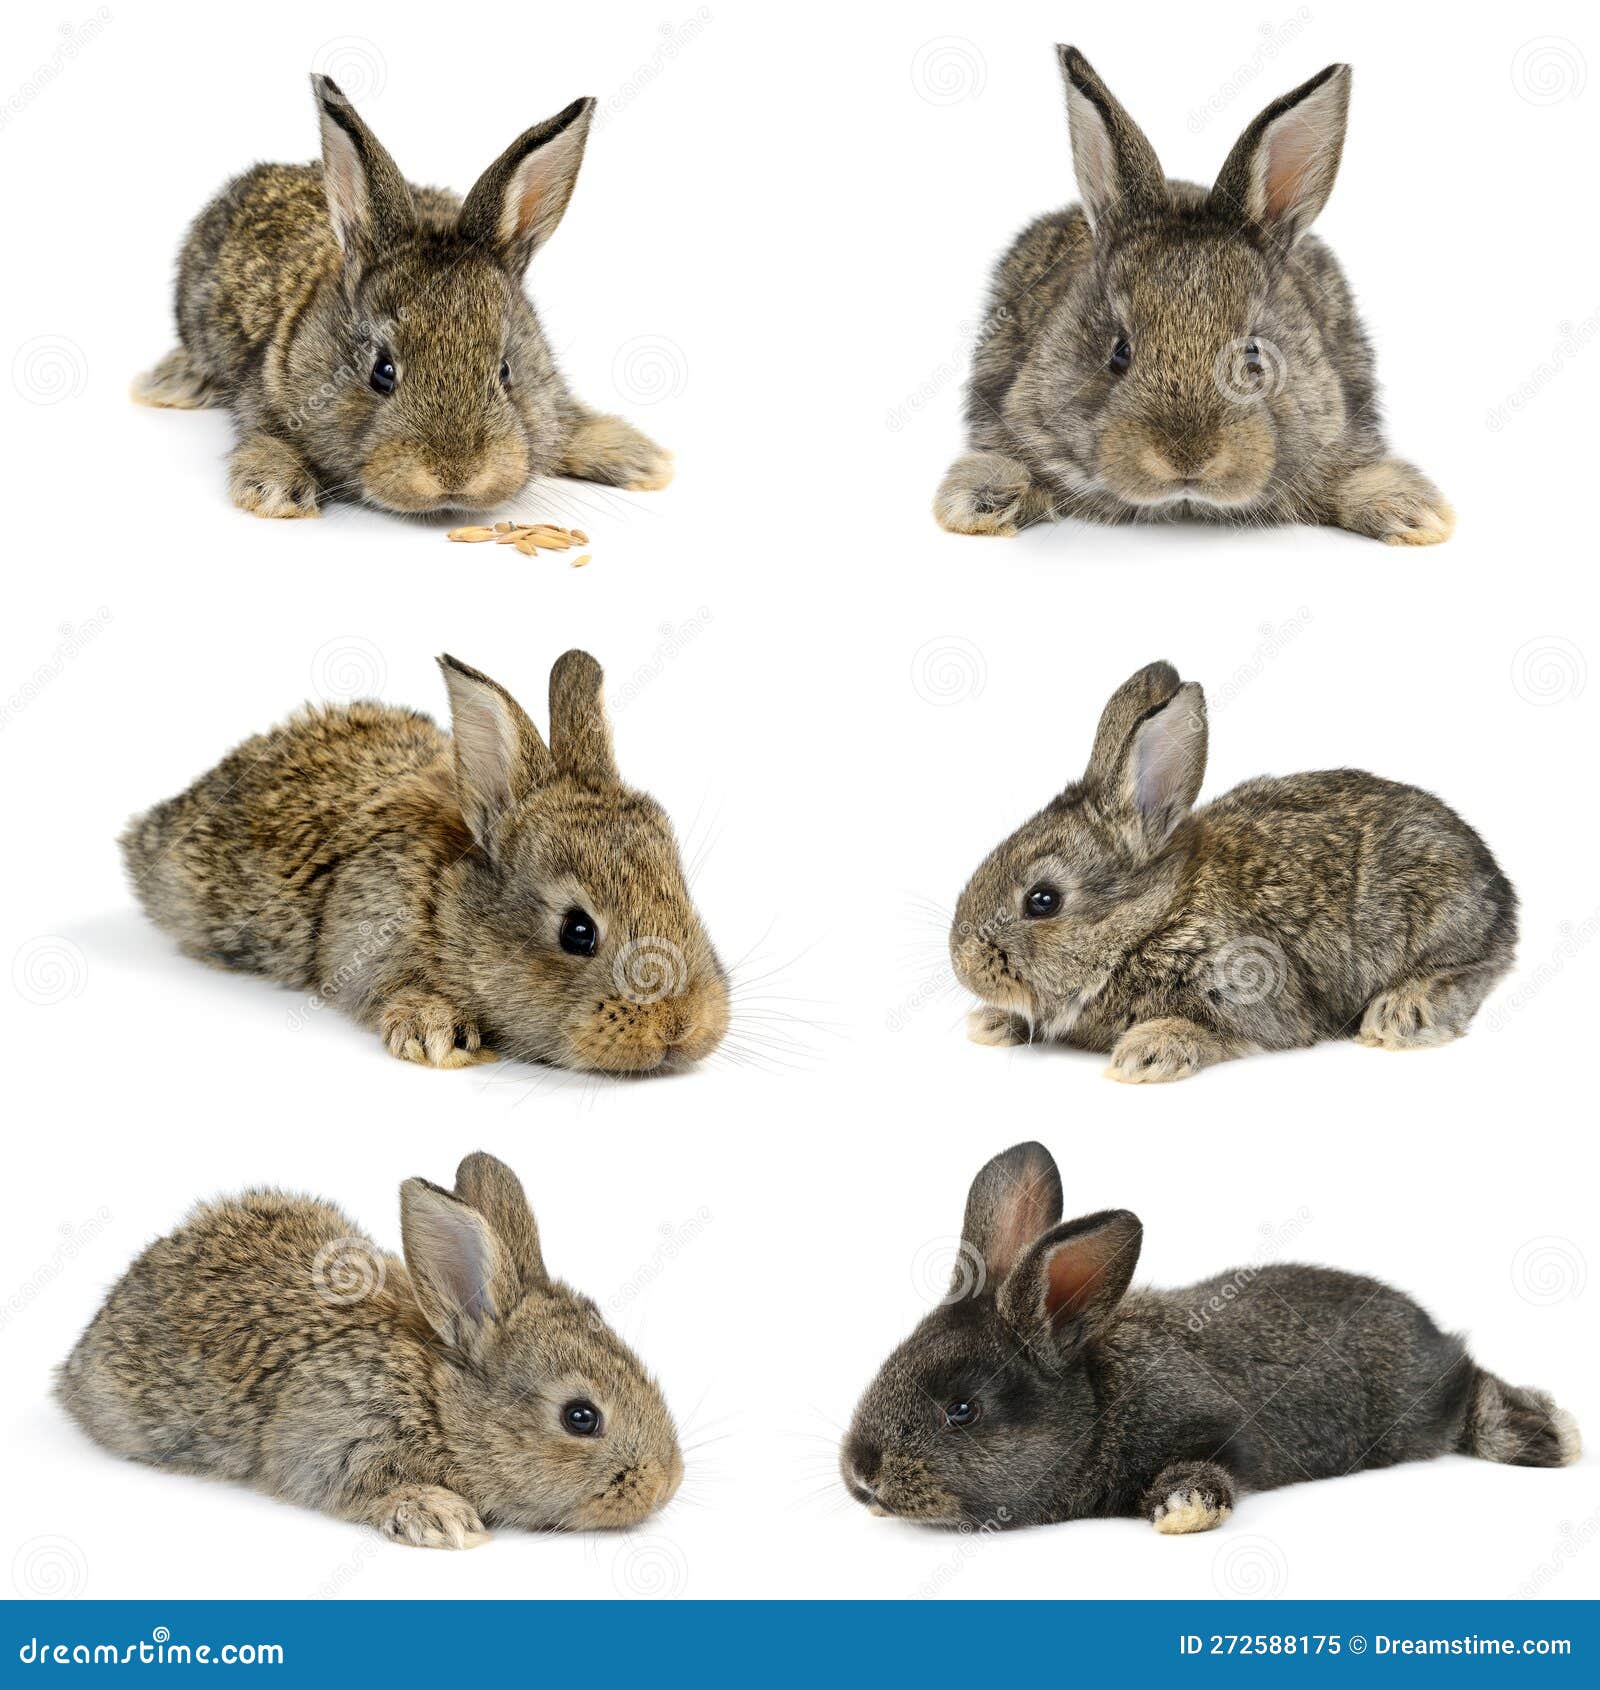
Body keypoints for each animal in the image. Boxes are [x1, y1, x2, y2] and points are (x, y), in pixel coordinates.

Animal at [132, 75, 672, 518]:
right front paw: (276, 492)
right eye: (382, 372)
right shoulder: (263, 395)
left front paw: (642, 460)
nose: (456, 475)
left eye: (505, 372)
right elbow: (264, 435)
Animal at [841, 1142, 1580, 1532]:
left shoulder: (1213, 1426)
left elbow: (1208, 1468)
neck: (1099, 1405)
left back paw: (1550, 1435)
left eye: (961, 1410)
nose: (860, 1473)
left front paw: (1183, 1510)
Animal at [951, 661, 1515, 1083]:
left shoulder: (1253, 993)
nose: (963, 964)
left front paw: (1148, 1052)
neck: (1154, 920)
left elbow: (1231, 1035)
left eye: (1042, 900)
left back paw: (1402, 1013)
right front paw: (993, 1023)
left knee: (1476, 968)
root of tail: (1501, 888)